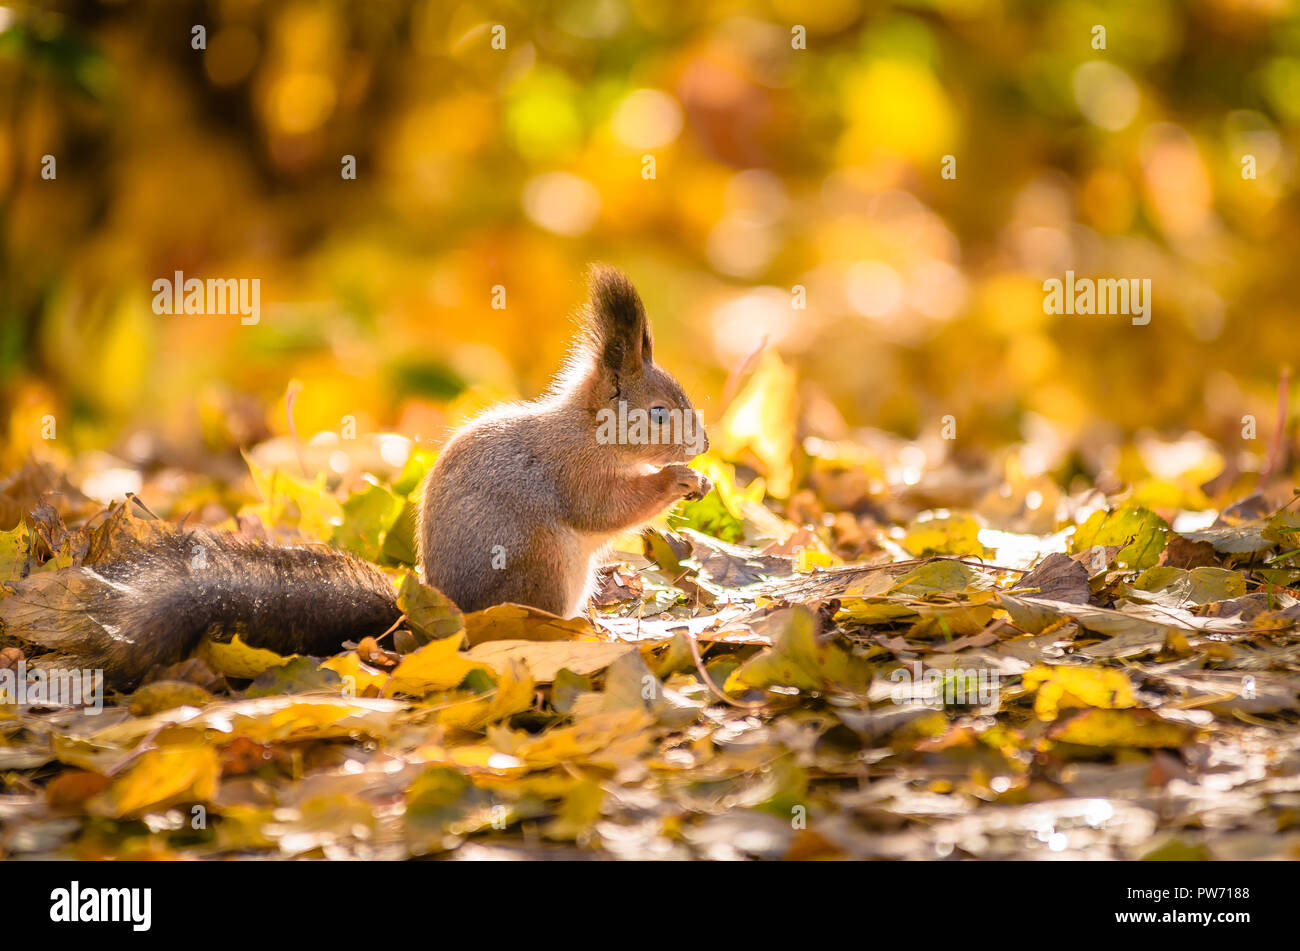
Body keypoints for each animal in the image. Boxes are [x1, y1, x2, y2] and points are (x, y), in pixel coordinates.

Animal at [0, 266, 712, 688]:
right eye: (657, 413)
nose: (703, 445)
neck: (590, 432)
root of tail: (432, 623)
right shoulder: (570, 471)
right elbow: (604, 508)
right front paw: (676, 482)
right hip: (540, 573)